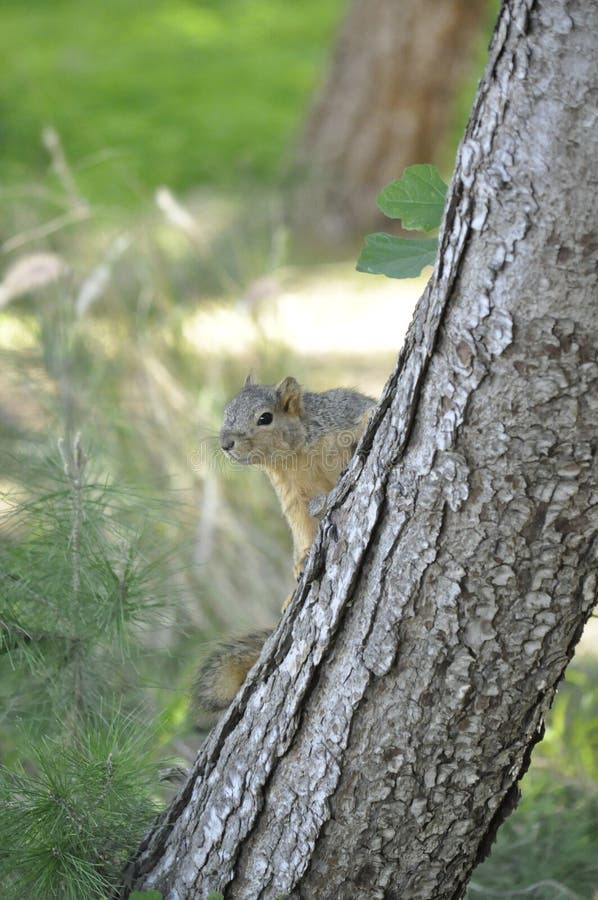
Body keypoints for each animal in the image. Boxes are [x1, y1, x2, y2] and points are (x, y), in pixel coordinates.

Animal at [193, 375, 376, 713]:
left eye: (265, 418)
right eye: (227, 410)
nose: (226, 443)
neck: (295, 456)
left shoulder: (338, 422)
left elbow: (361, 419)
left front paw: (368, 420)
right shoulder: (294, 498)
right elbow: (303, 531)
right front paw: (302, 562)